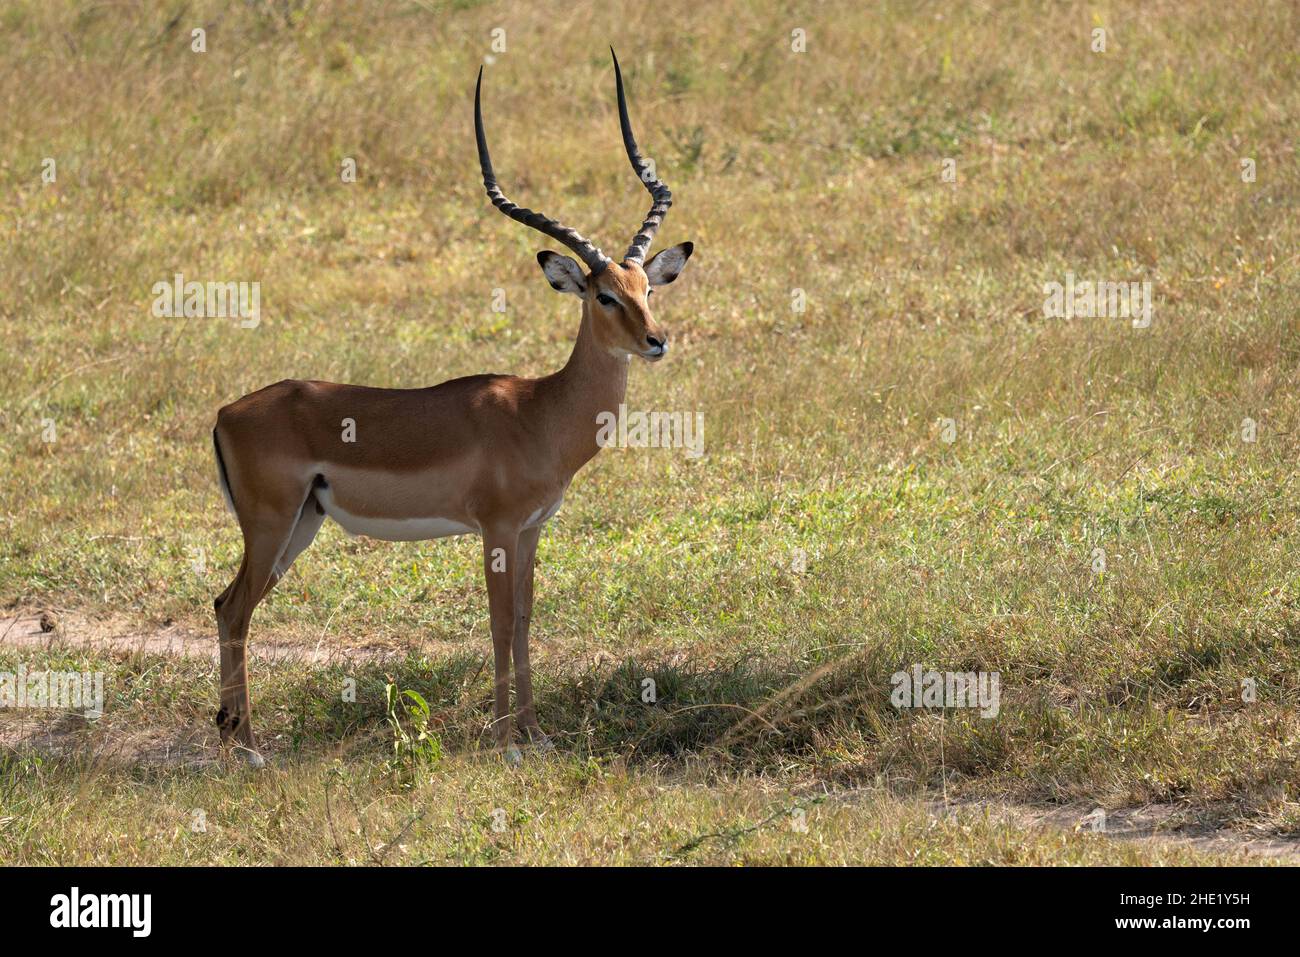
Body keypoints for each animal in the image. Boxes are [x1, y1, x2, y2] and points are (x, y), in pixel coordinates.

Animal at [210, 50, 694, 766]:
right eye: (603, 295)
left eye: (645, 288)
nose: (656, 340)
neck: (539, 413)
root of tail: (225, 413)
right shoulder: (495, 529)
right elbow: (496, 623)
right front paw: (505, 743)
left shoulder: (531, 530)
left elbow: (523, 620)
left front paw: (536, 734)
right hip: (271, 525)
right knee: (236, 609)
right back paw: (247, 749)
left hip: (301, 525)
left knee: (225, 604)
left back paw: (233, 738)